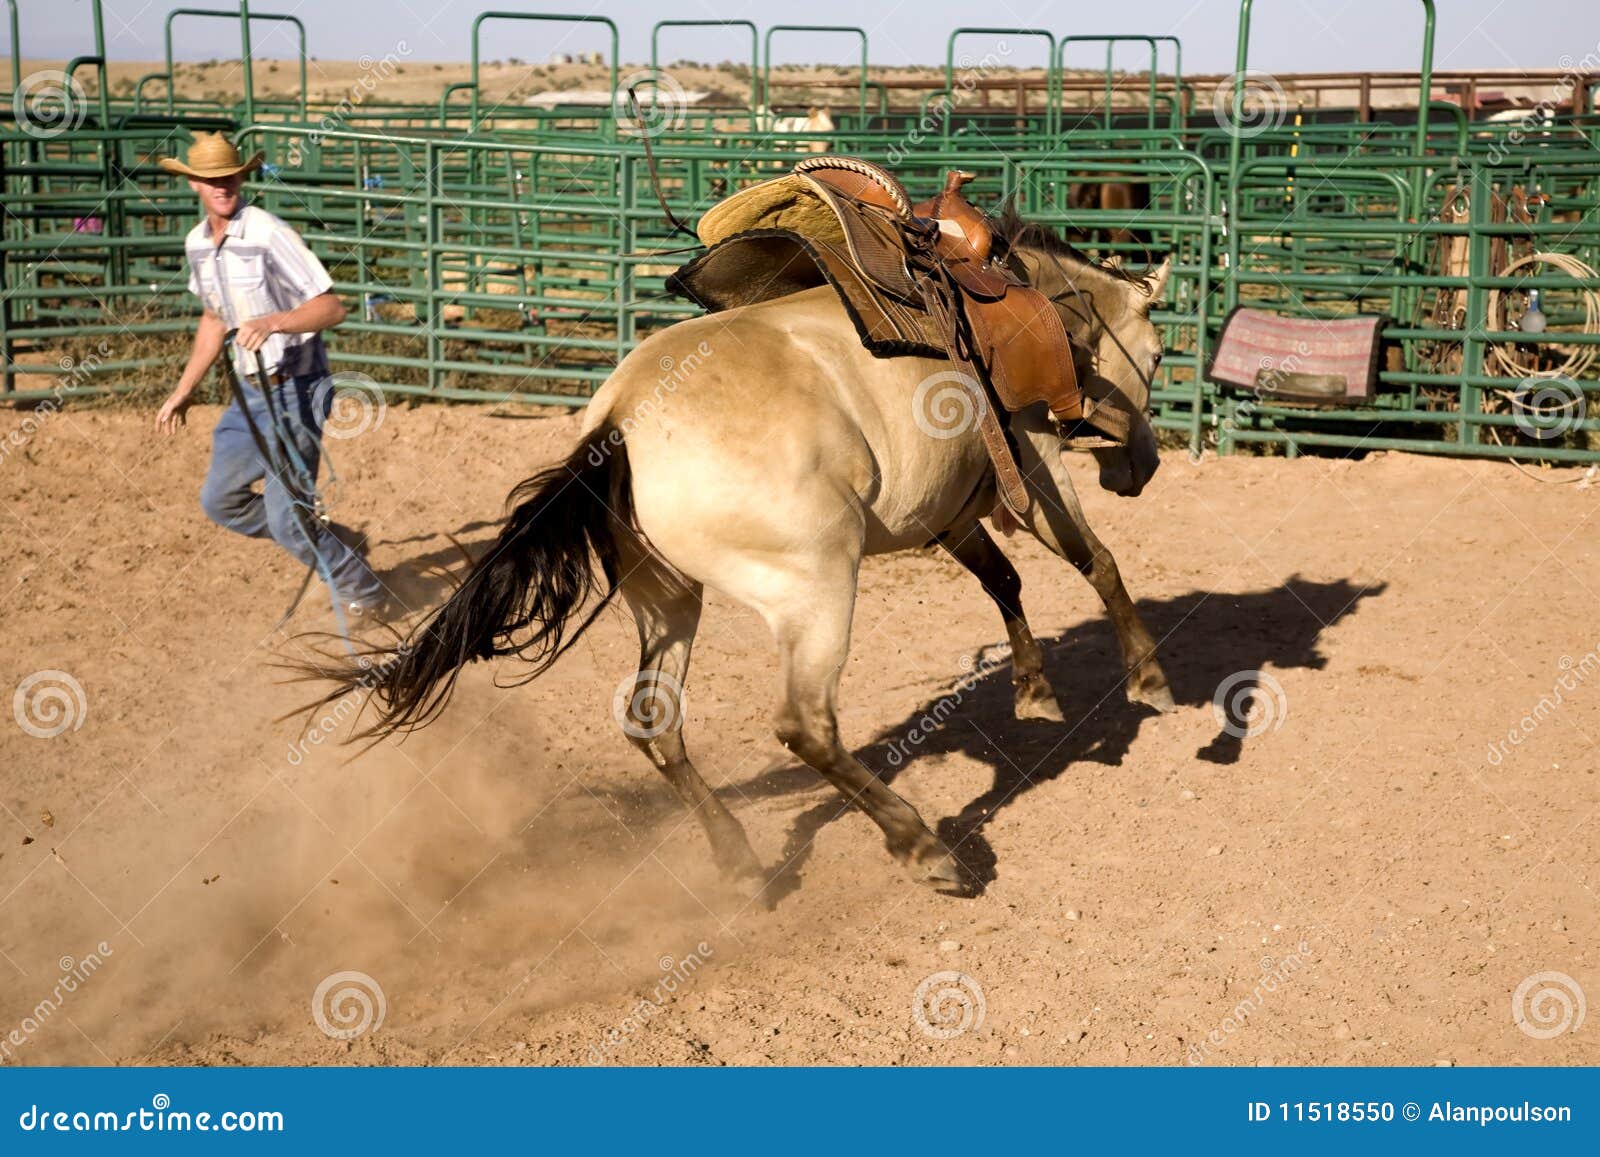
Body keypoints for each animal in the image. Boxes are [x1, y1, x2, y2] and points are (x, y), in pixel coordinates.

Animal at [301, 212, 1174, 894]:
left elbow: (1005, 579)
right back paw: (924, 847)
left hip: (667, 597)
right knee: (804, 723)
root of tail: (622, 421)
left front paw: (1034, 687)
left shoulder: (950, 506)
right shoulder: (1034, 461)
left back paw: (741, 862)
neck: (1029, 304)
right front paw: (1149, 677)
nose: (1141, 469)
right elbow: (1094, 560)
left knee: (654, 721)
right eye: (1162, 356)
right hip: (815, 584)